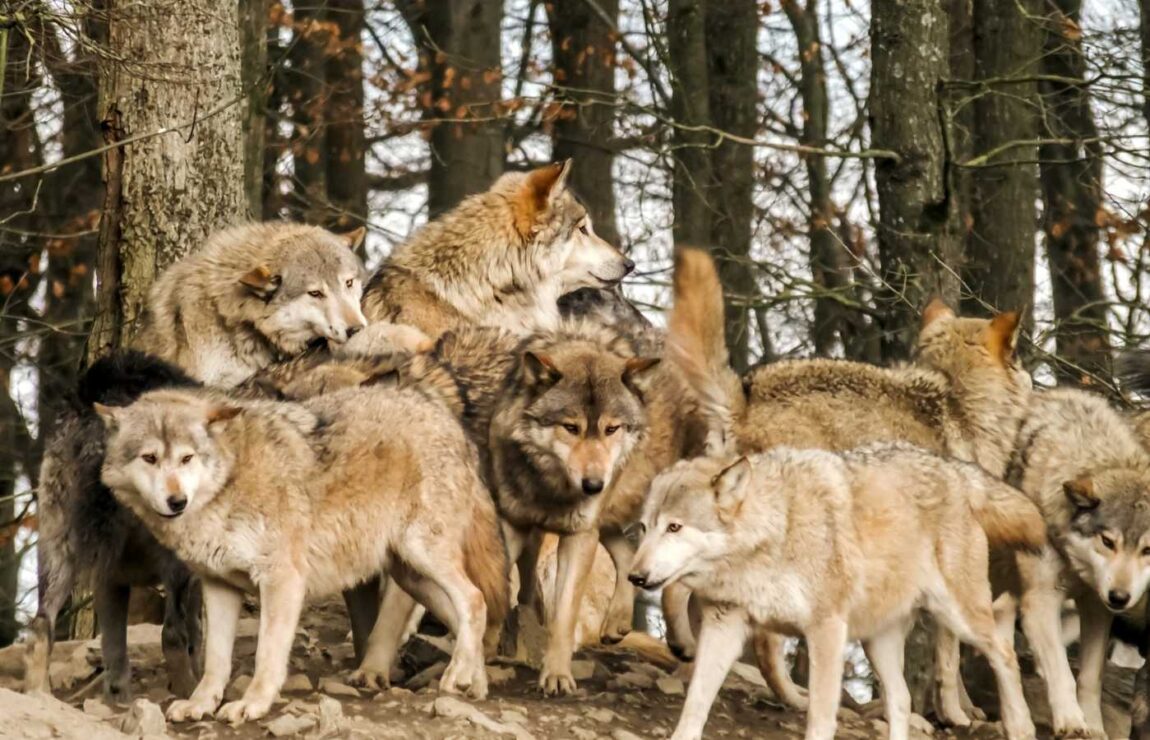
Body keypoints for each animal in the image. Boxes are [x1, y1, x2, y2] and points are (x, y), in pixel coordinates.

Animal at [23, 351, 203, 702]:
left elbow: (115, 654)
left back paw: (41, 696)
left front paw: (118, 699)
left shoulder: (110, 579)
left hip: (57, 550)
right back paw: (188, 692)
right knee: (171, 634)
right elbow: (195, 634)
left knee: (41, 628)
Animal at [95, 384, 508, 724]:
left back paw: (457, 677)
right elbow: (215, 661)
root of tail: (456, 429)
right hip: (414, 577)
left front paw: (251, 705)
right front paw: (200, 704)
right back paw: (473, 685)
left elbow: (266, 656)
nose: (176, 501)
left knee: (474, 600)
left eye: (186, 459)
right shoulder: (219, 586)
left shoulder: (282, 581)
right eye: (149, 458)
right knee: (471, 614)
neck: (229, 481)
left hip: (423, 554)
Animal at [628, 444, 1041, 740]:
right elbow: (695, 704)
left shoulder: (825, 630)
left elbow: (821, 717)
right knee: (901, 699)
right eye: (645, 527)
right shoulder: (722, 626)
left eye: (675, 527)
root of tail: (956, 469)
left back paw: (1020, 727)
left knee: (1006, 656)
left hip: (959, 618)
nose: (635, 576)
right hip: (878, 642)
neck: (776, 530)